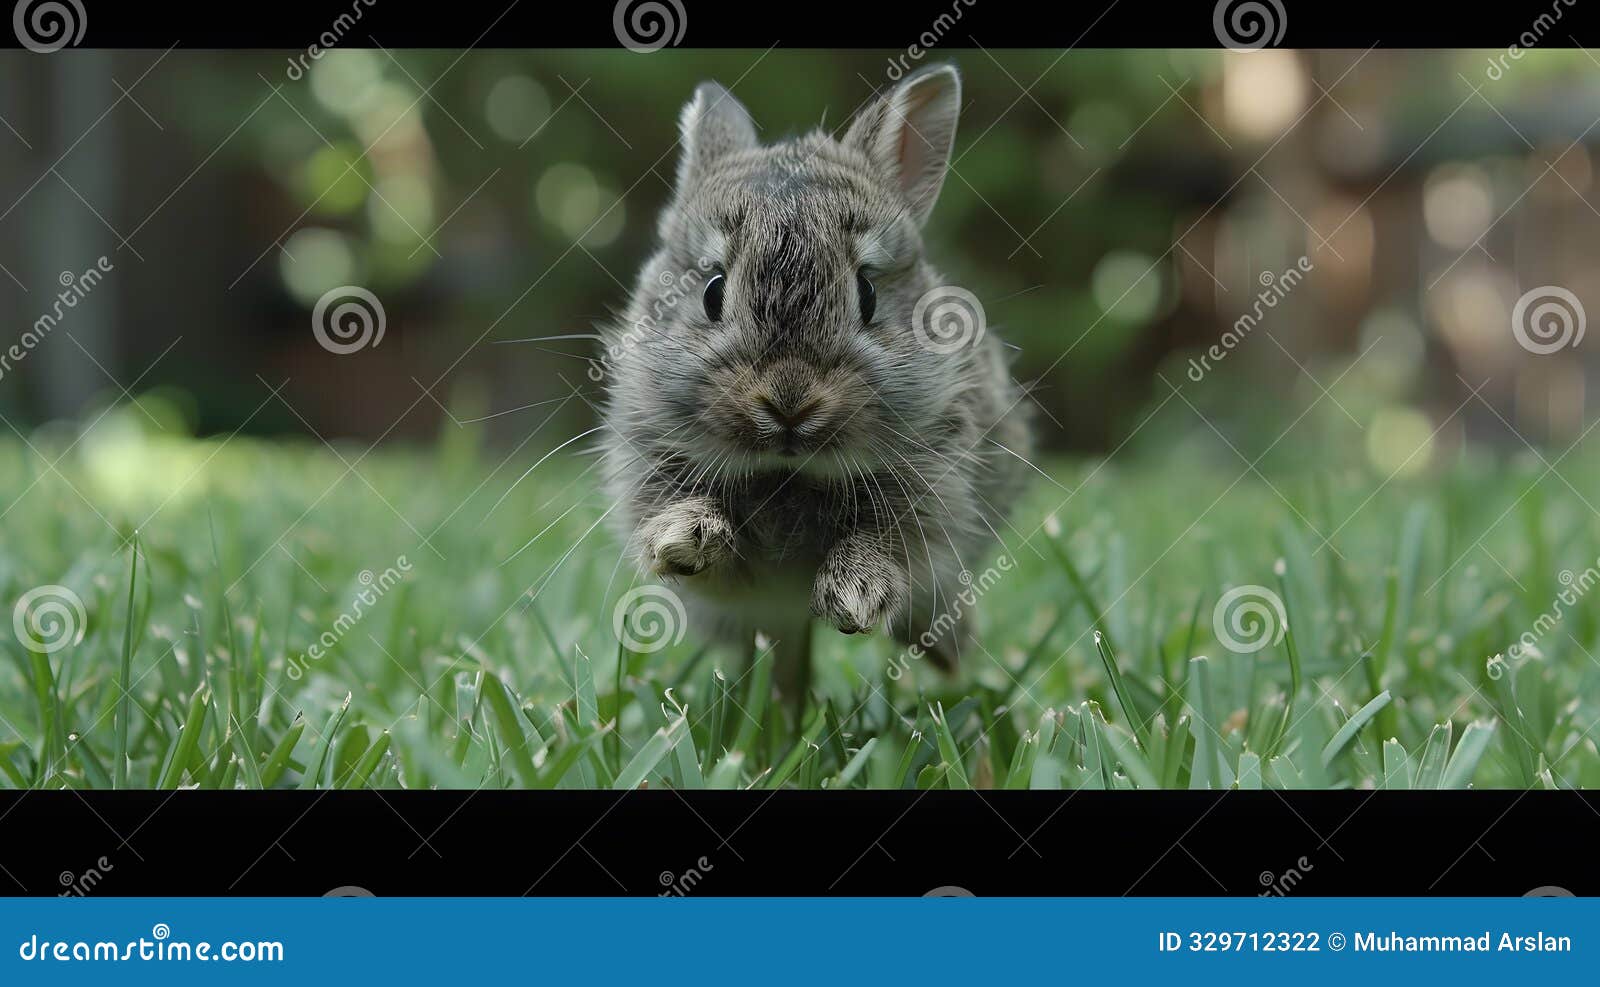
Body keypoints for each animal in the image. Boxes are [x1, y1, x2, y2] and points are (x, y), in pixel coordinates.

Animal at [598, 63, 1030, 697]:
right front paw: (683, 539)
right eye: (712, 291)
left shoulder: (934, 489)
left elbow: (895, 547)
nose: (789, 402)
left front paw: (853, 596)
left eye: (868, 293)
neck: (787, 472)